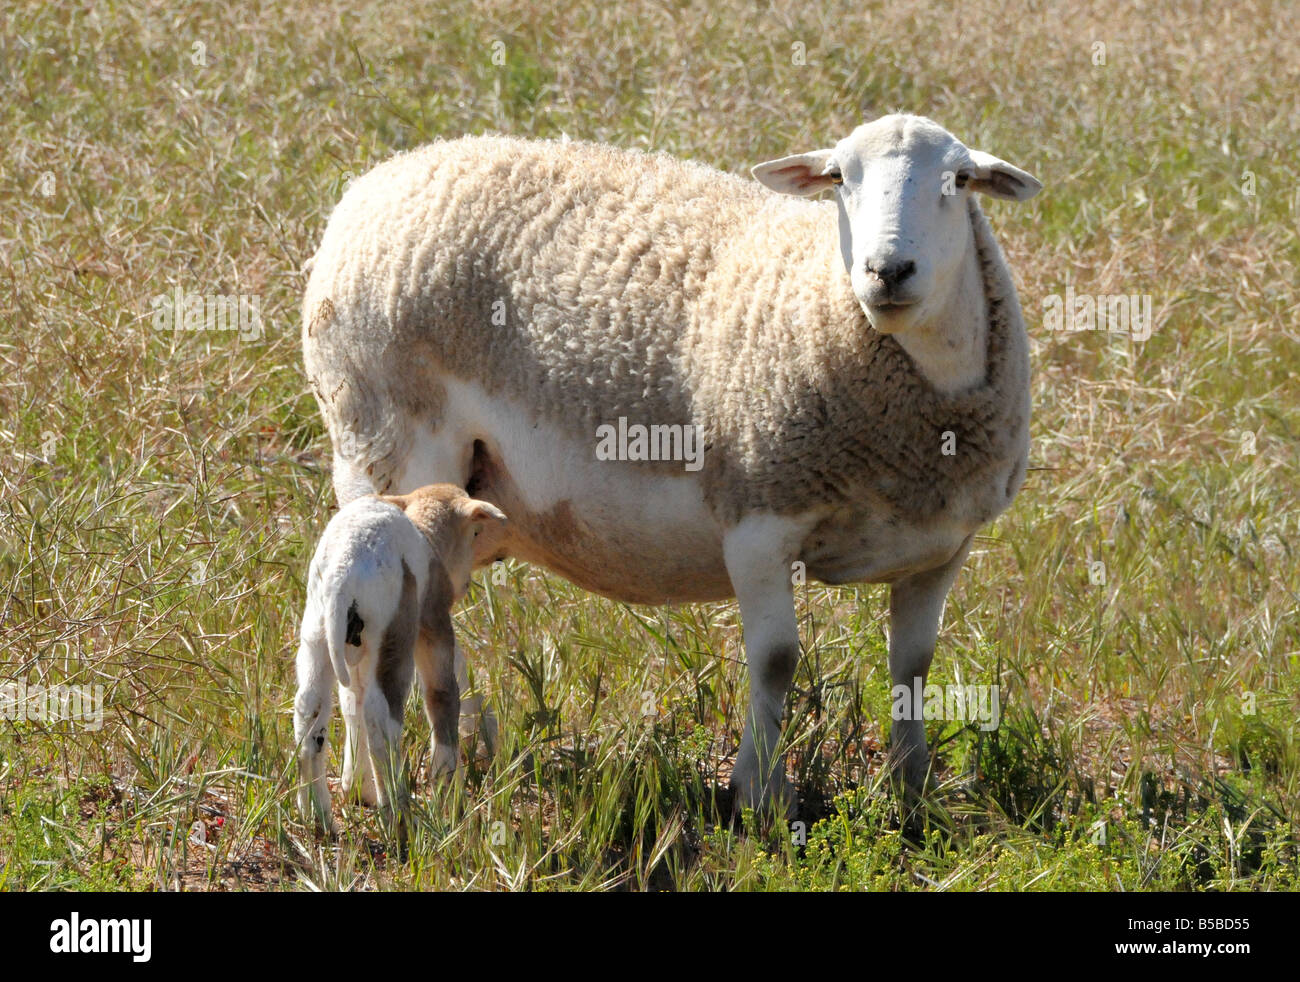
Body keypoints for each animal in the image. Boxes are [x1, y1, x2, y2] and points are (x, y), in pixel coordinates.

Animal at [294, 483, 506, 829]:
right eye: (475, 532)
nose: (465, 585)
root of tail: (343, 572)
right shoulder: (433, 624)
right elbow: (442, 695)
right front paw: (450, 797)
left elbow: (351, 704)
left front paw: (357, 789)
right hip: (393, 637)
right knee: (381, 717)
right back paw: (399, 817)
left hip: (317, 634)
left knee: (312, 712)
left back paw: (318, 816)